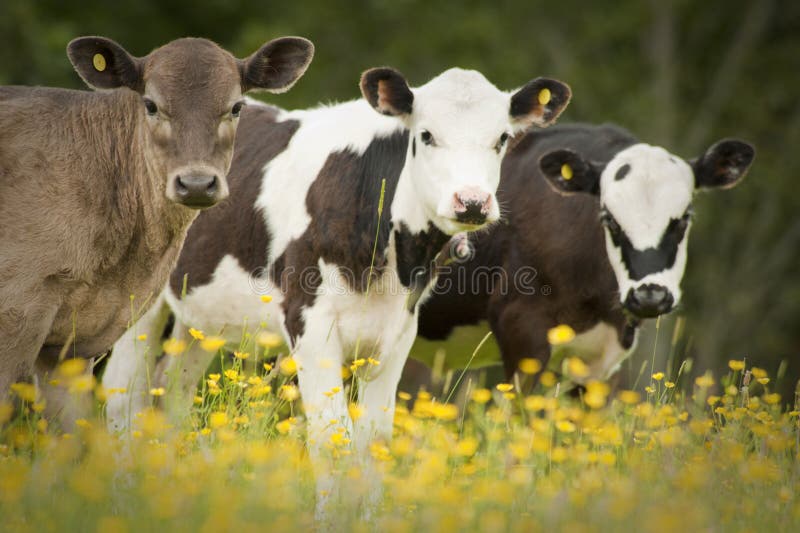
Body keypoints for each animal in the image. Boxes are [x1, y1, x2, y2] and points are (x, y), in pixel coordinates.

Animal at [102, 66, 571, 512]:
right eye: (426, 135)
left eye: (502, 138)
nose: (471, 202)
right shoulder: (309, 326)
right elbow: (331, 440)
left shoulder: (398, 333)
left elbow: (374, 441)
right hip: (140, 304)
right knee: (123, 394)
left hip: (198, 321)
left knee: (170, 395)